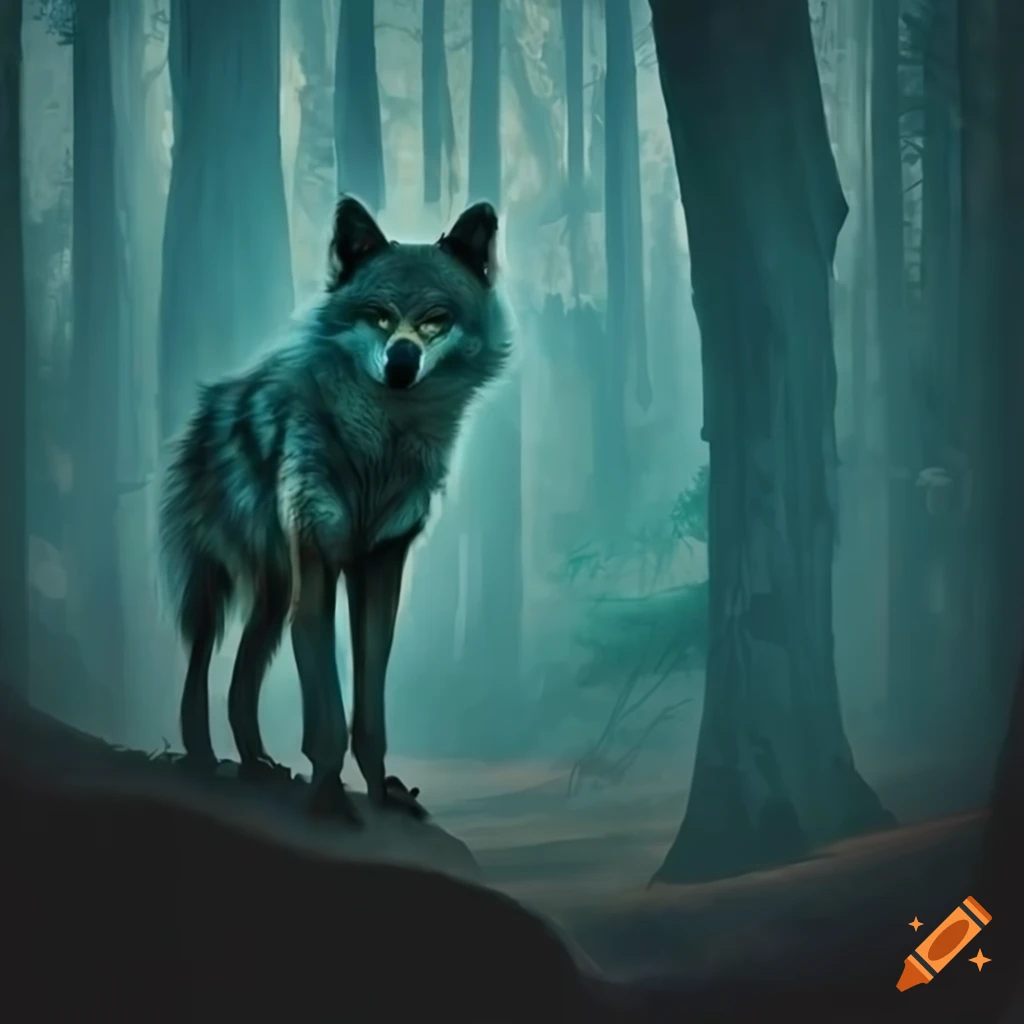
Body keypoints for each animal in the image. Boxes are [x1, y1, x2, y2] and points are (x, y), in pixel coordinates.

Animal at [159, 196, 511, 819]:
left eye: (435, 319)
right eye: (378, 315)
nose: (401, 362)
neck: (379, 449)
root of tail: (206, 408)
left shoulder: (380, 569)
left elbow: (369, 706)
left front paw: (379, 789)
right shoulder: (319, 561)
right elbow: (325, 704)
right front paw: (326, 795)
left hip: (273, 599)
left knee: (241, 680)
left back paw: (256, 764)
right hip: (215, 588)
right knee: (200, 666)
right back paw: (202, 760)